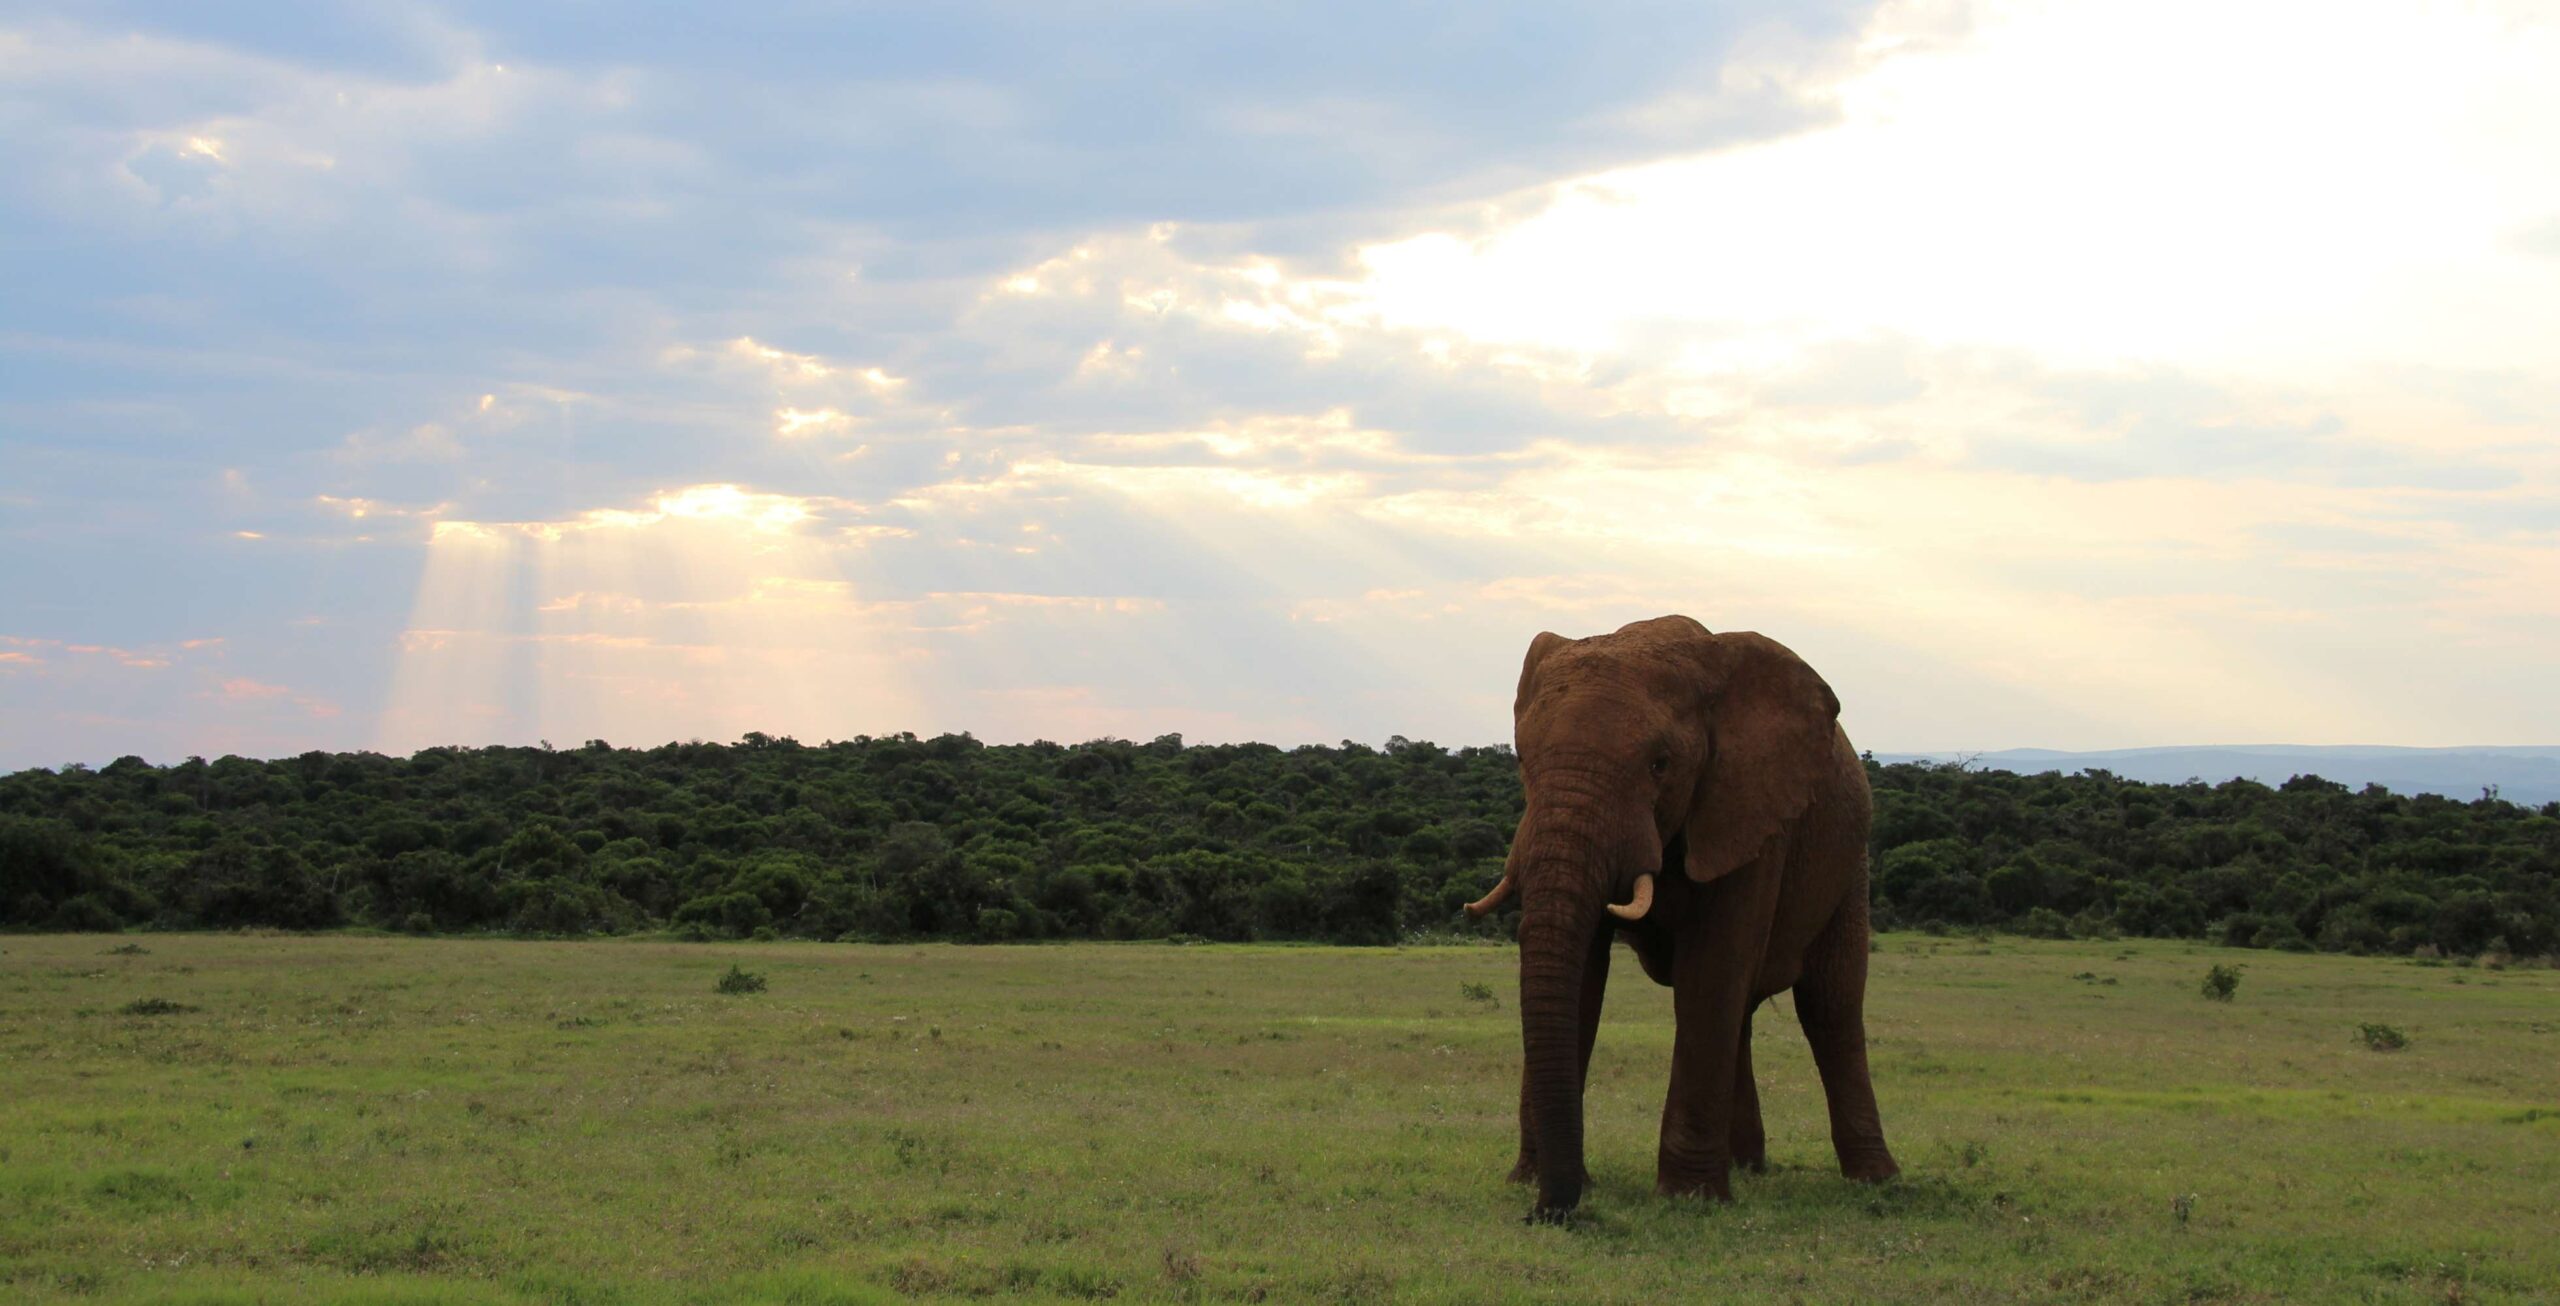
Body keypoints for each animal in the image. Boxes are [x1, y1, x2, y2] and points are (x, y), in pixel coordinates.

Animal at [1465, 615, 1898, 1220]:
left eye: (1660, 765)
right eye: (1521, 760)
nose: (1546, 1215)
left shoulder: (1749, 812)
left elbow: (1711, 970)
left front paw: (1690, 1198)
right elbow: (1586, 977)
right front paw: (1532, 1180)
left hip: (1849, 863)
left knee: (1829, 1005)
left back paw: (1875, 1181)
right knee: (1743, 1012)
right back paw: (1748, 1168)